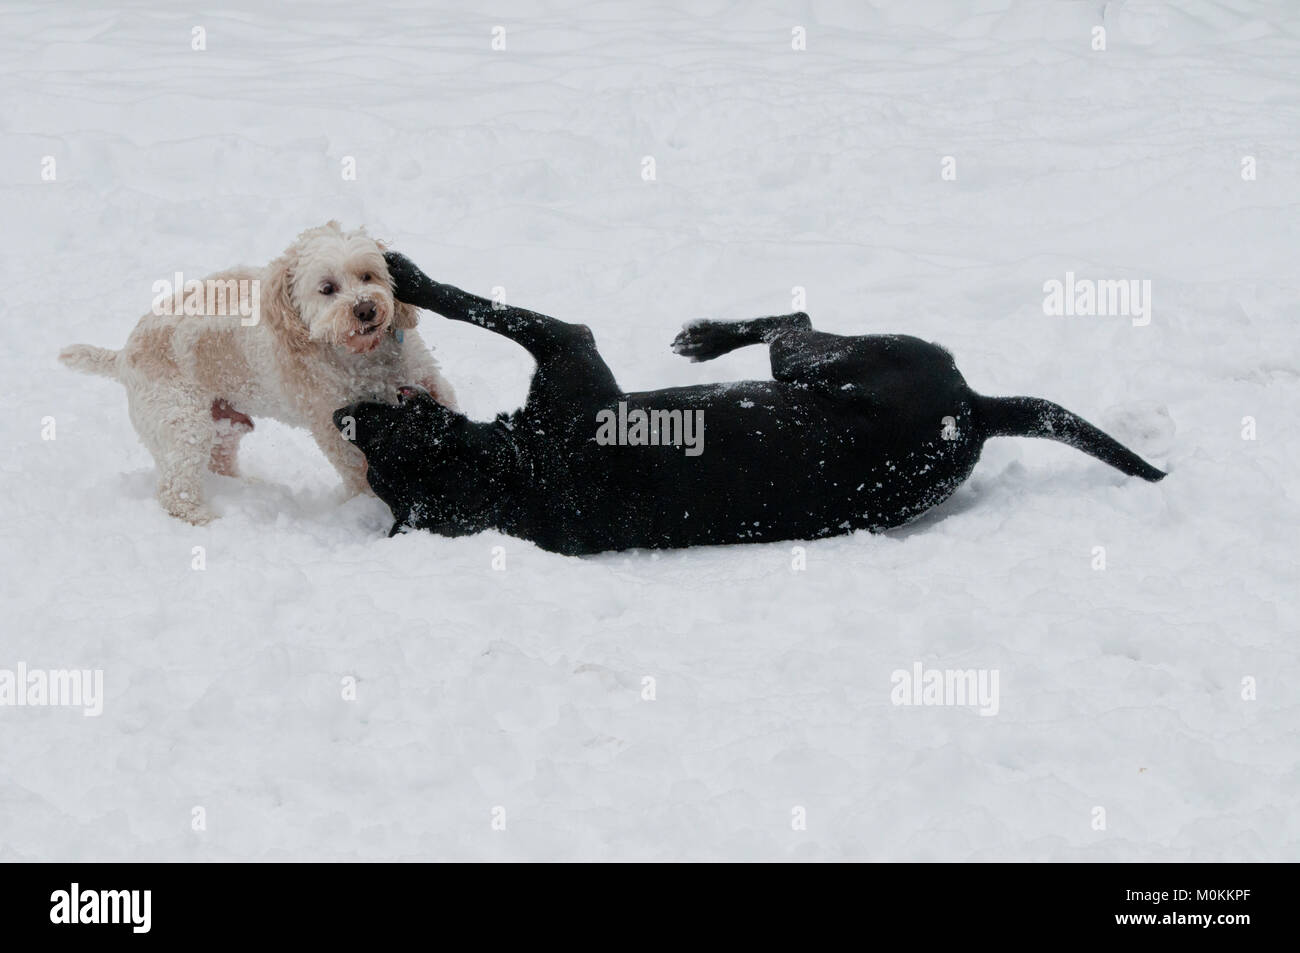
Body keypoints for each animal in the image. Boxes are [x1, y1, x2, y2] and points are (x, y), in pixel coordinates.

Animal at [61, 222, 457, 525]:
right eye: (327, 289)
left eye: (368, 275)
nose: (366, 309)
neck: (364, 356)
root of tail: (124, 354)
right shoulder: (334, 423)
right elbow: (357, 471)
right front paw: (367, 506)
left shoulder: (427, 378)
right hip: (181, 422)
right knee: (174, 488)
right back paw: (205, 518)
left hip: (224, 424)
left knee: (219, 460)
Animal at [338, 250, 1170, 556]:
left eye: (379, 437)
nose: (346, 417)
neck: (519, 473)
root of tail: (977, 408)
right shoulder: (569, 353)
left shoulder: (568, 344)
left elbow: (479, 304)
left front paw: (405, 272)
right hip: (816, 362)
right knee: (794, 319)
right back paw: (707, 339)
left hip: (816, 358)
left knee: (792, 316)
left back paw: (706, 336)